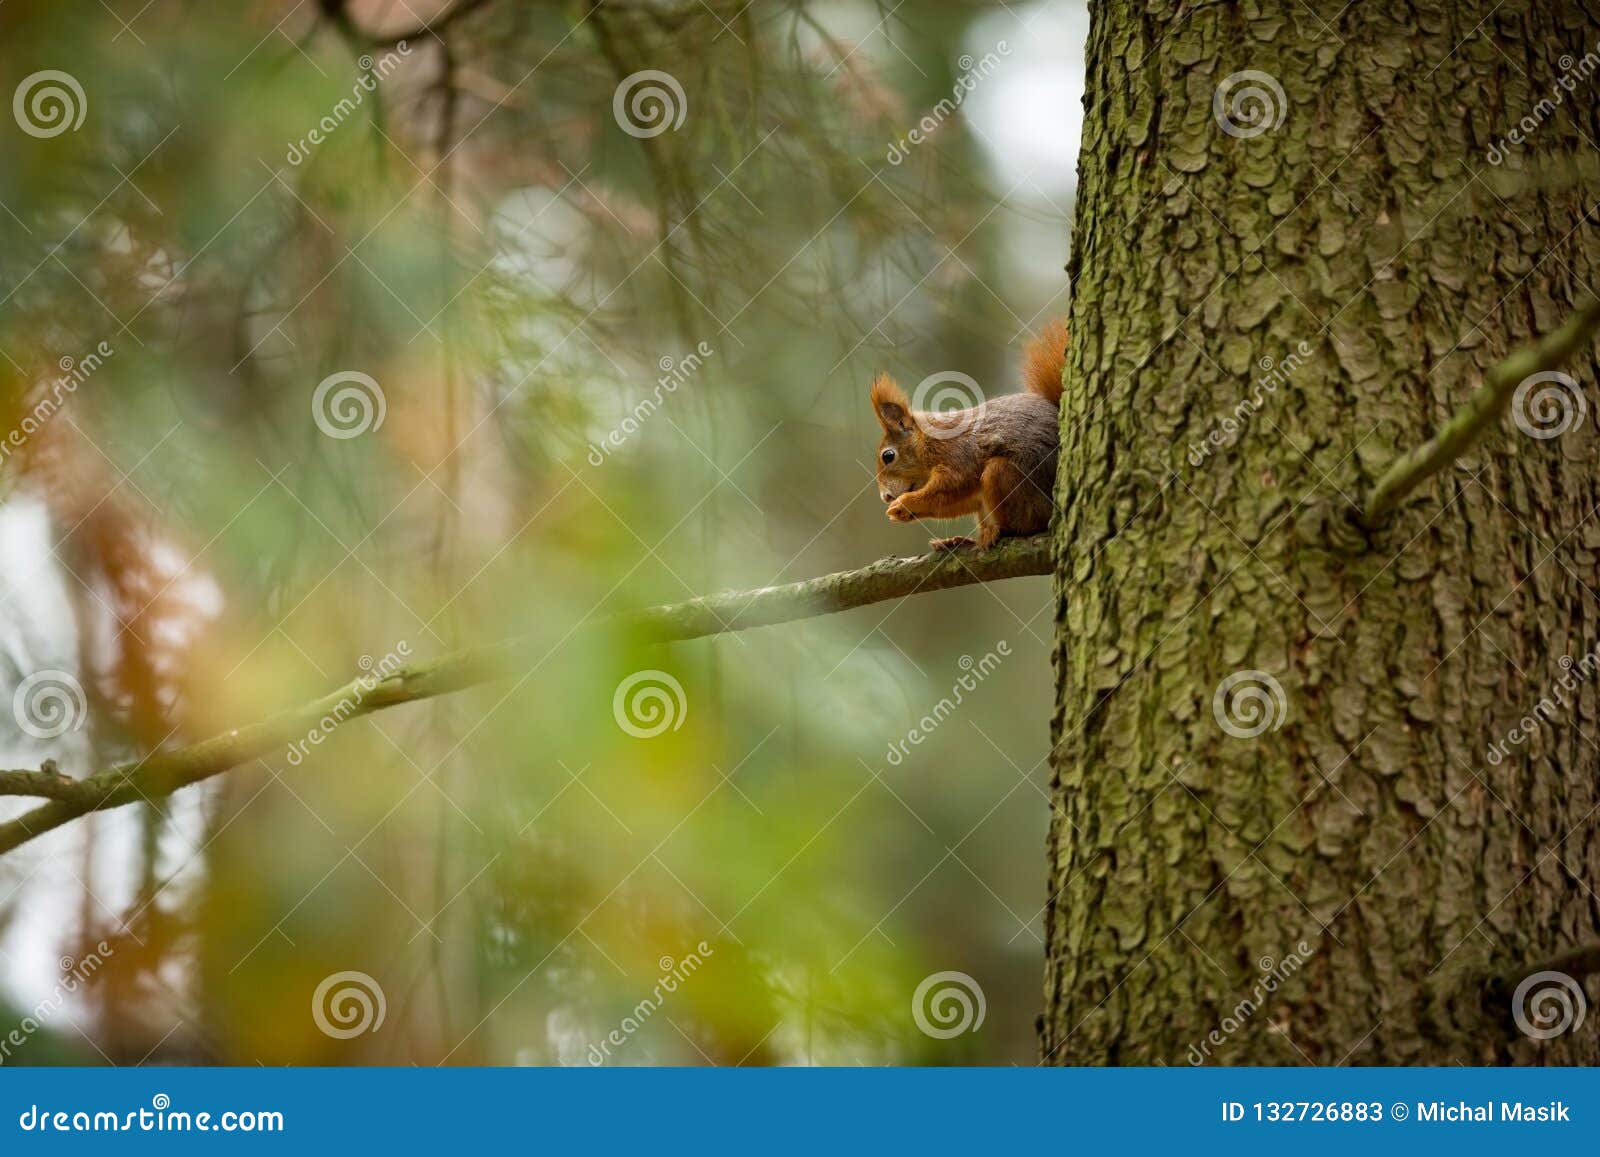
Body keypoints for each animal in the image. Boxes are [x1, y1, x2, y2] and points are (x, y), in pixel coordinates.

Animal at [870, 320, 1067, 551]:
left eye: (888, 456)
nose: (885, 497)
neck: (926, 441)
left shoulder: (956, 452)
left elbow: (953, 484)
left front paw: (905, 503)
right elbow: (953, 502)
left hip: (1007, 476)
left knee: (1027, 525)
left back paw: (996, 532)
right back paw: (960, 540)